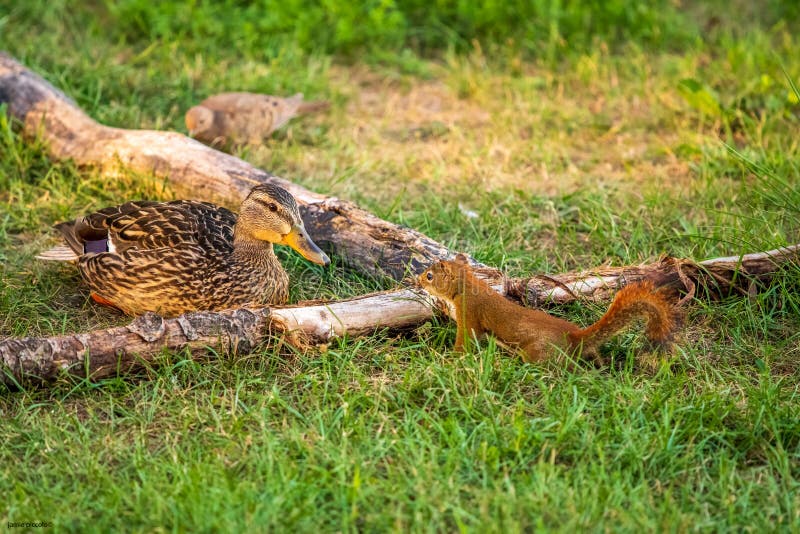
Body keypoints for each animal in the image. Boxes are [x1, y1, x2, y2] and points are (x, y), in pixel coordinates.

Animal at [418, 254, 680, 363]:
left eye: (429, 275)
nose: (417, 280)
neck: (467, 286)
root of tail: (574, 338)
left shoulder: (469, 314)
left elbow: (466, 339)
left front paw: (450, 357)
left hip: (536, 352)